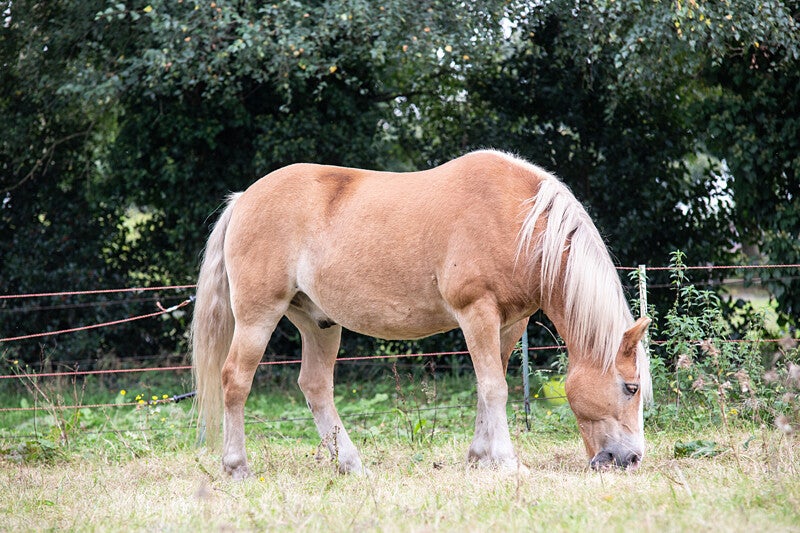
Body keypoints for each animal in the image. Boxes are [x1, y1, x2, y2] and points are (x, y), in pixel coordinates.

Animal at [191, 149, 651, 479]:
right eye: (631, 388)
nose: (631, 459)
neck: (518, 219)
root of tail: (243, 199)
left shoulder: (509, 323)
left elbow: (487, 386)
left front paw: (479, 457)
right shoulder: (477, 313)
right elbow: (495, 389)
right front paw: (508, 462)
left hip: (319, 323)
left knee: (315, 386)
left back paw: (352, 465)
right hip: (258, 316)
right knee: (235, 381)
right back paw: (236, 467)